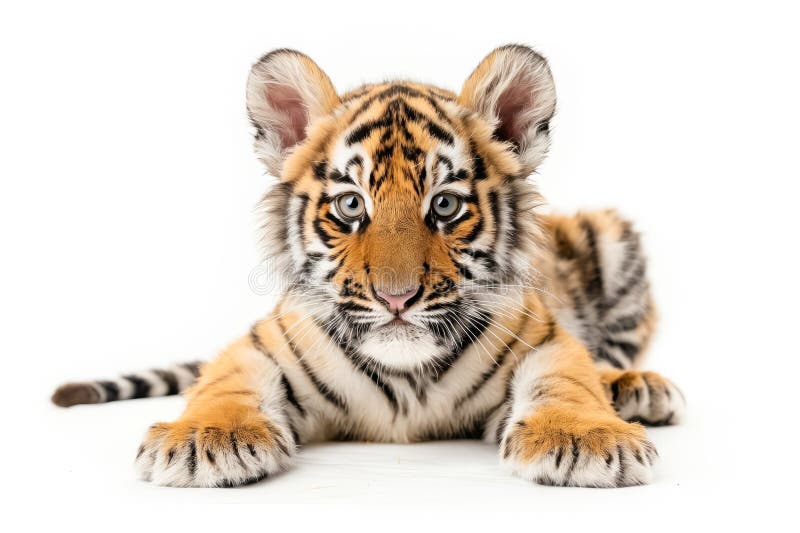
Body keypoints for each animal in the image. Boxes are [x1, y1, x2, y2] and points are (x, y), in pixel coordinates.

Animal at [52, 45, 685, 488]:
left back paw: (635, 388)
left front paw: (585, 439)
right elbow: (224, 383)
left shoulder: (543, 337)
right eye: (351, 206)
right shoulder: (264, 342)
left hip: (612, 239)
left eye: (445, 206)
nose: (396, 298)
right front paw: (205, 439)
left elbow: (568, 381)